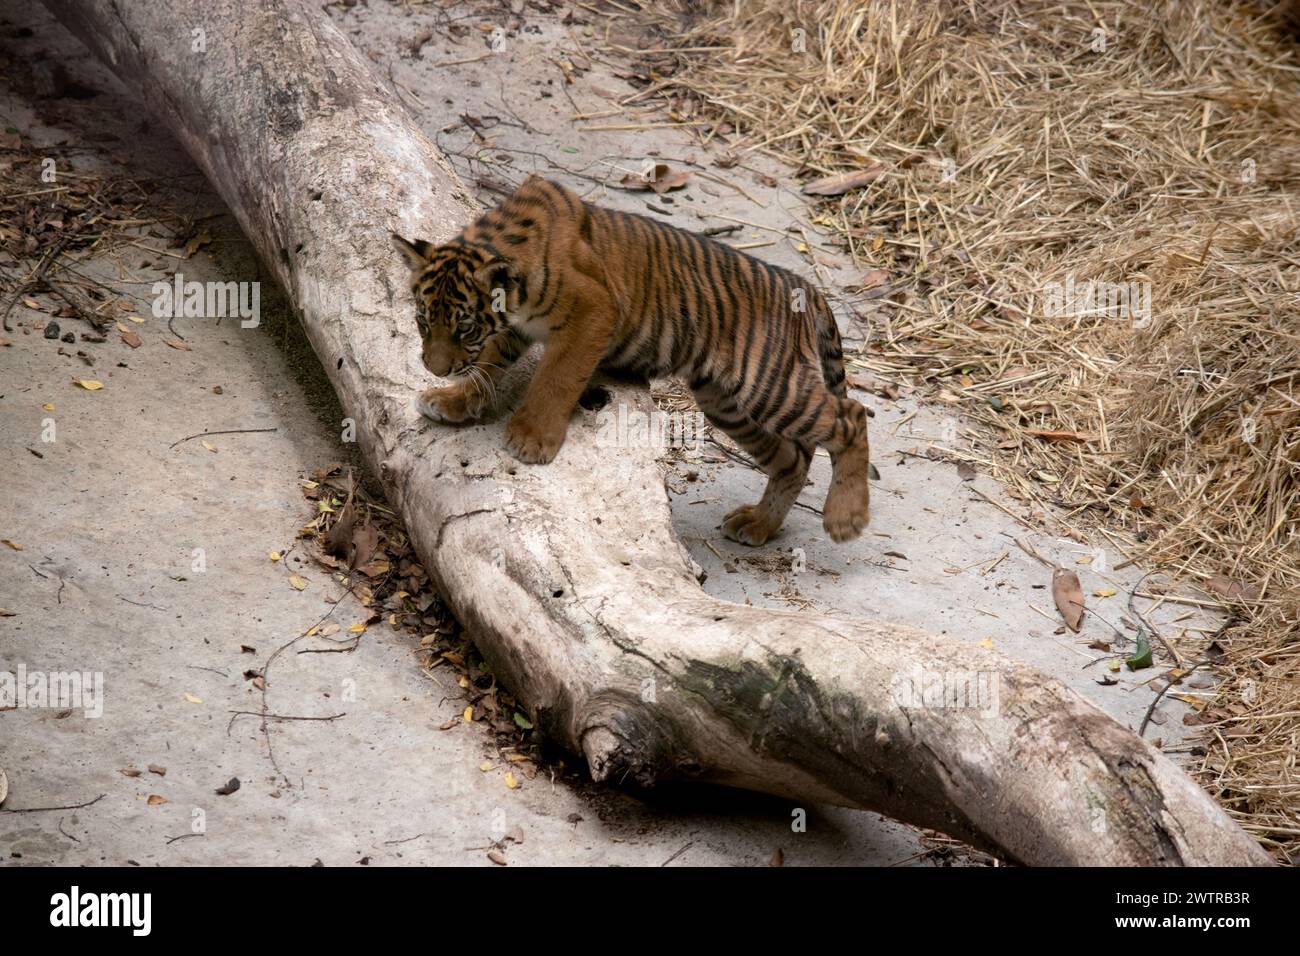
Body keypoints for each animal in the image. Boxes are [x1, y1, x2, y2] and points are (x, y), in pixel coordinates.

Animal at [392, 174, 871, 545]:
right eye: (422, 321)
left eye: (465, 328)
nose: (435, 368)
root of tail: (805, 287)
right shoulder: (513, 327)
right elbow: (489, 364)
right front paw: (454, 399)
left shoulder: (593, 310)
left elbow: (555, 377)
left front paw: (531, 437)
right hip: (725, 403)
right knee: (794, 459)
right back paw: (758, 524)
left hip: (766, 384)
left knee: (851, 414)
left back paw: (846, 518)